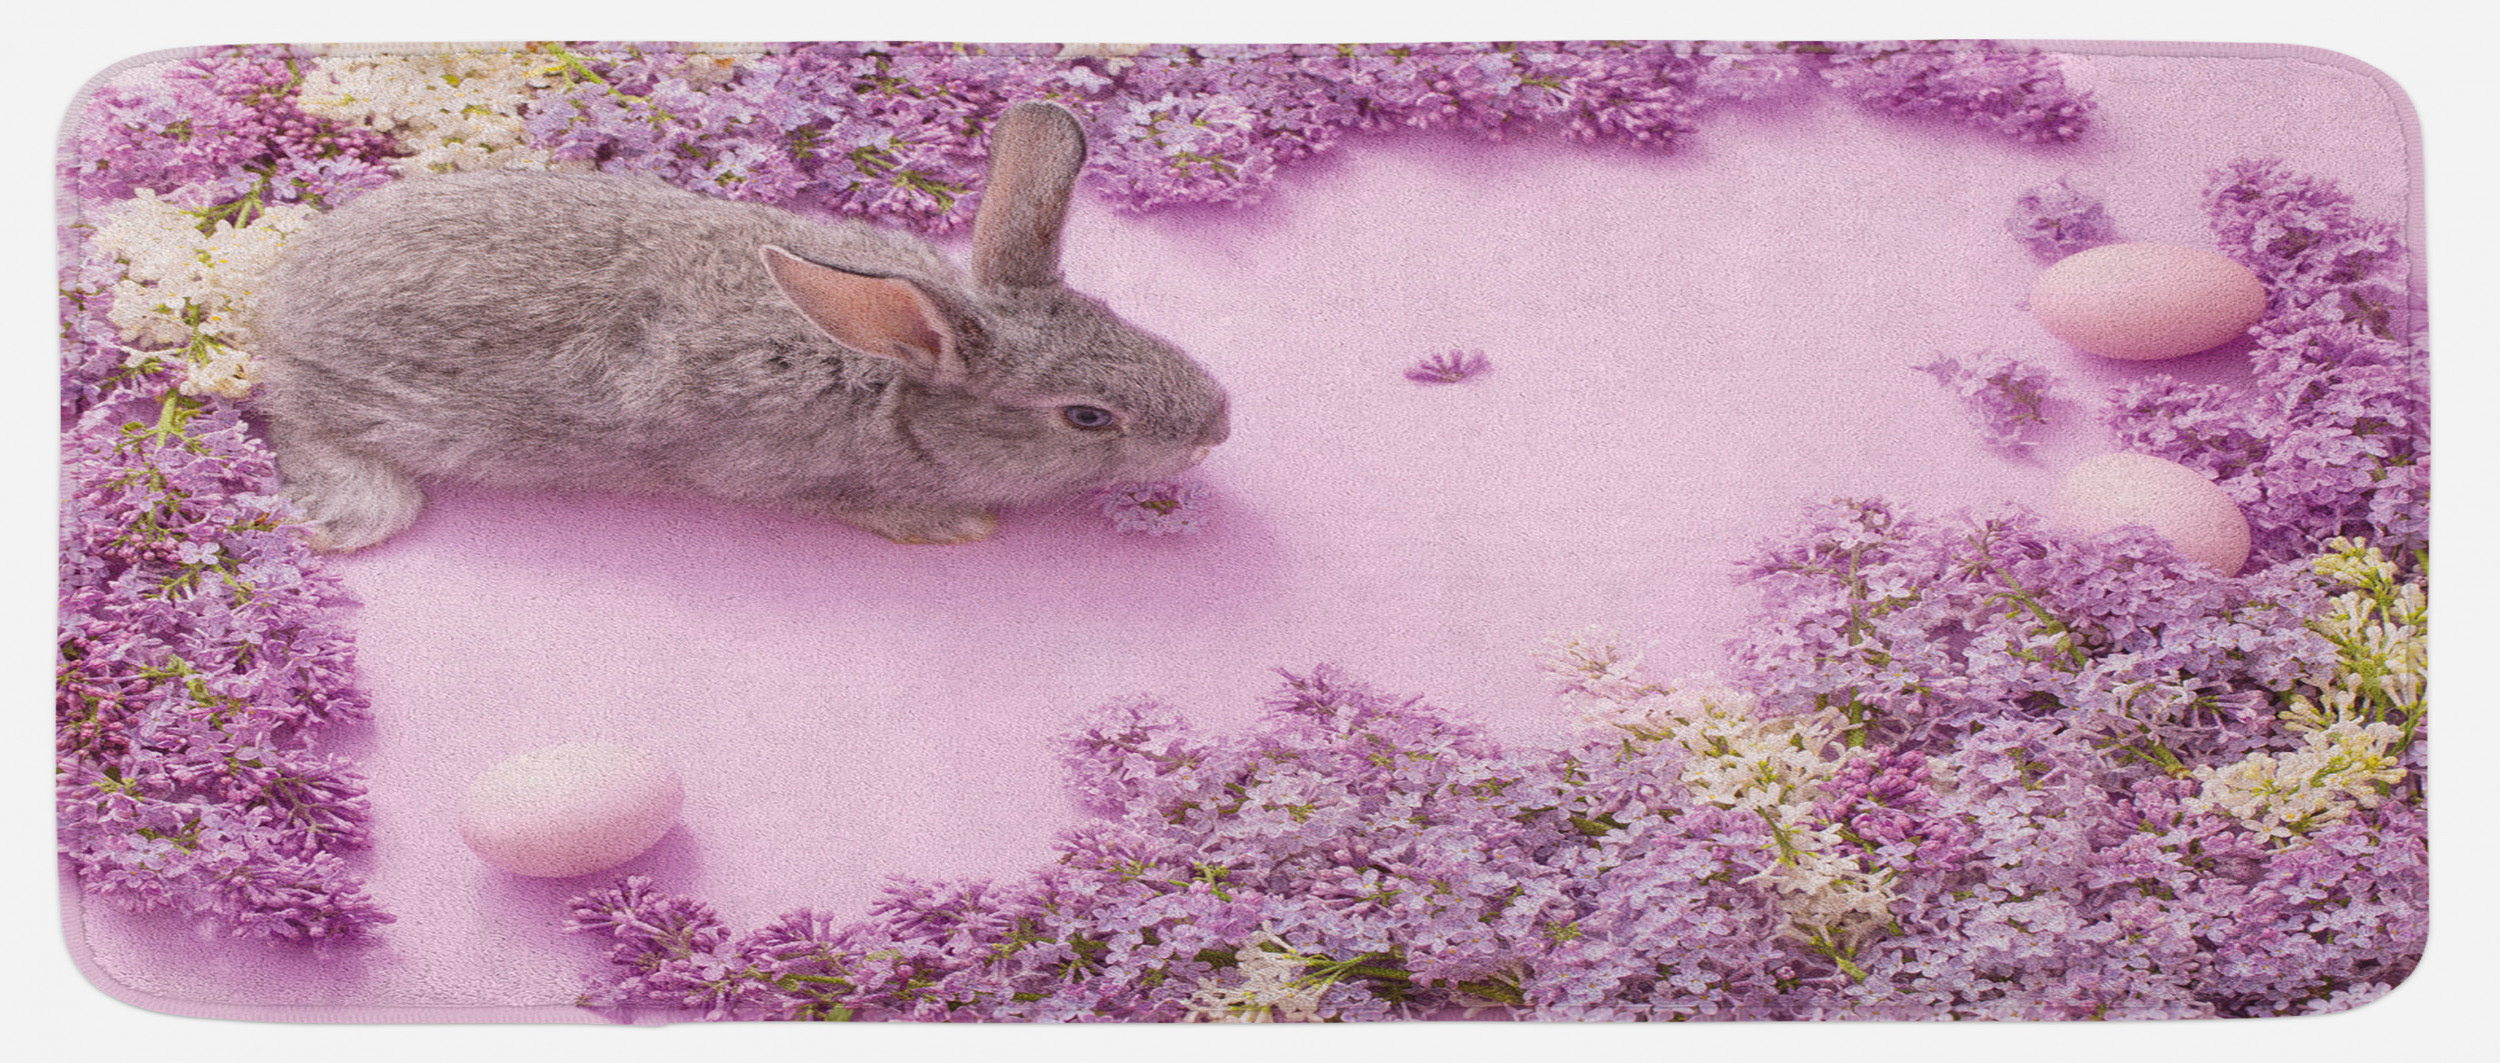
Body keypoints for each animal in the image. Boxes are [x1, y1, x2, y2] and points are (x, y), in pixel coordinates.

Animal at [252, 102, 1230, 551]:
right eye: (1087, 416)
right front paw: (955, 526)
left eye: (1117, 315)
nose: (1218, 427)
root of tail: (280, 305)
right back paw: (342, 517)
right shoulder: (787, 478)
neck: (896, 385)